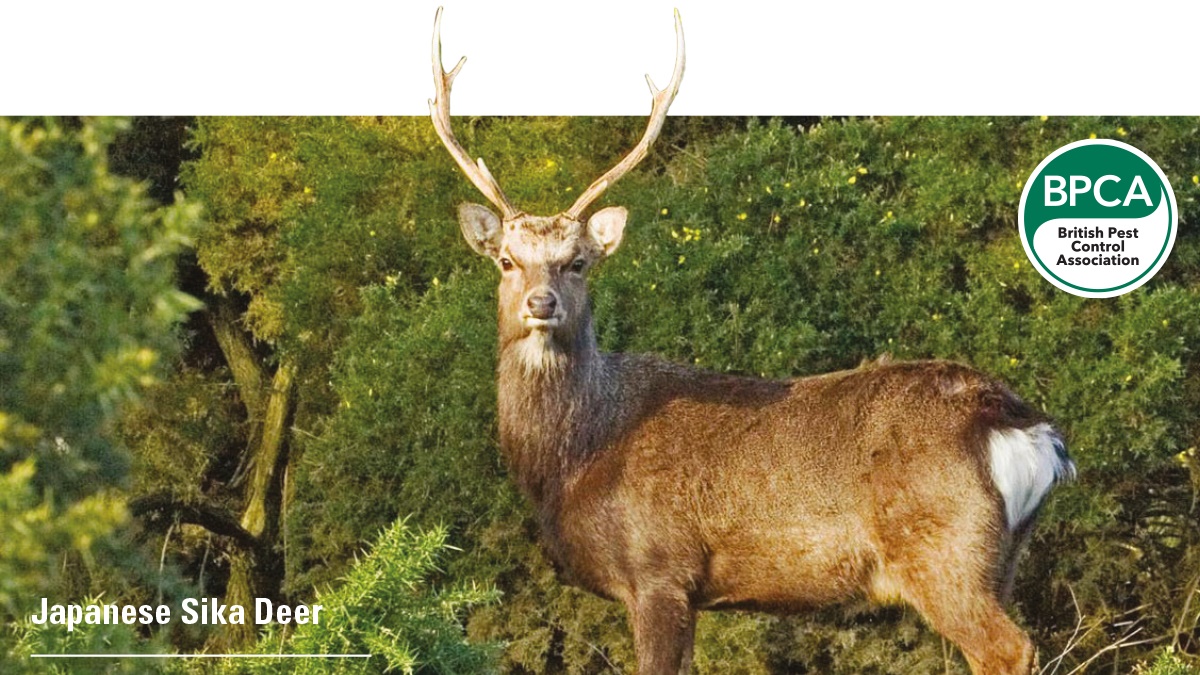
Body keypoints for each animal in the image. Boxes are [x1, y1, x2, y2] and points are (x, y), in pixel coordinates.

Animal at [427, 8, 1075, 675]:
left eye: (578, 262)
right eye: (506, 260)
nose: (542, 302)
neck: (576, 457)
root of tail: (1025, 427)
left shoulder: (659, 569)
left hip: (945, 549)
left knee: (1007, 647)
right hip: (1003, 557)